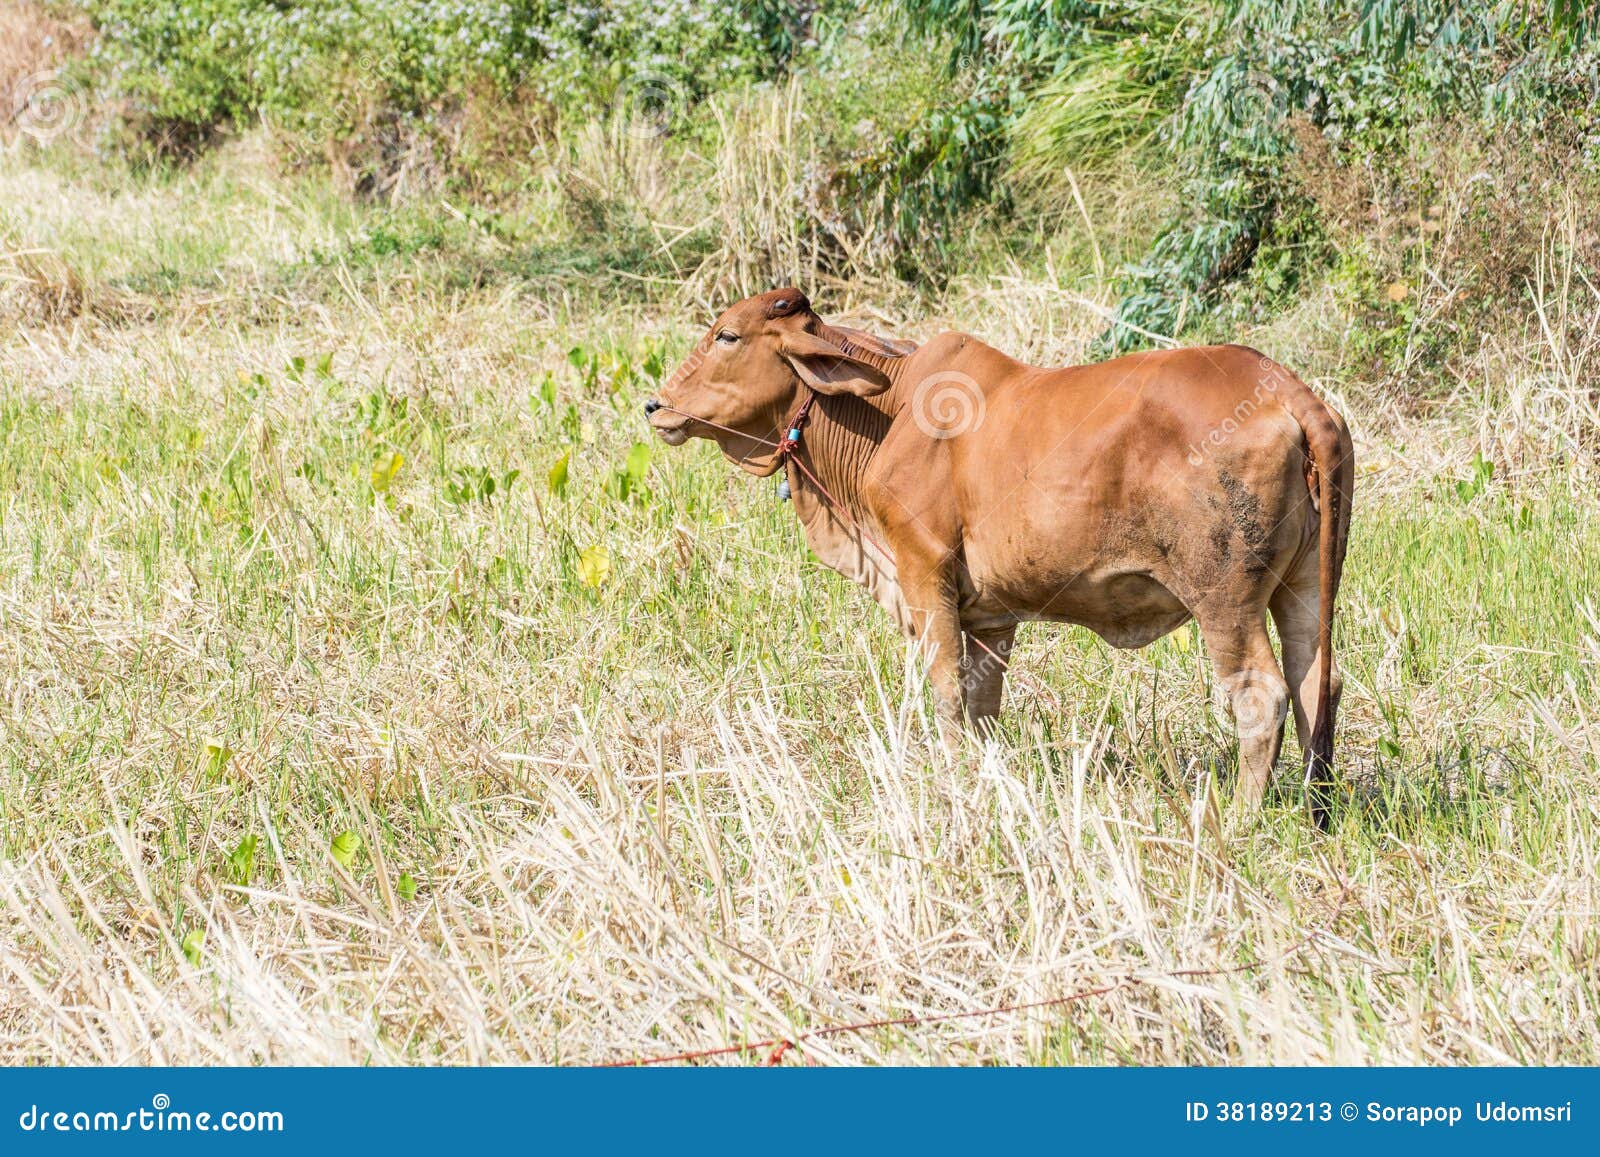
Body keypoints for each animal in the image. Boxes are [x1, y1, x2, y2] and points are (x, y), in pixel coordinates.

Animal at [645, 289, 1354, 826]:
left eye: (728, 335)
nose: (655, 404)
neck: (886, 408)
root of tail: (1287, 392)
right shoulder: (991, 614)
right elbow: (984, 701)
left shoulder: (924, 573)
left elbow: (947, 690)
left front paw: (951, 782)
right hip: (1302, 587)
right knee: (1316, 681)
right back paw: (1315, 813)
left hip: (1223, 598)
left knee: (1260, 696)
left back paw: (1237, 823)